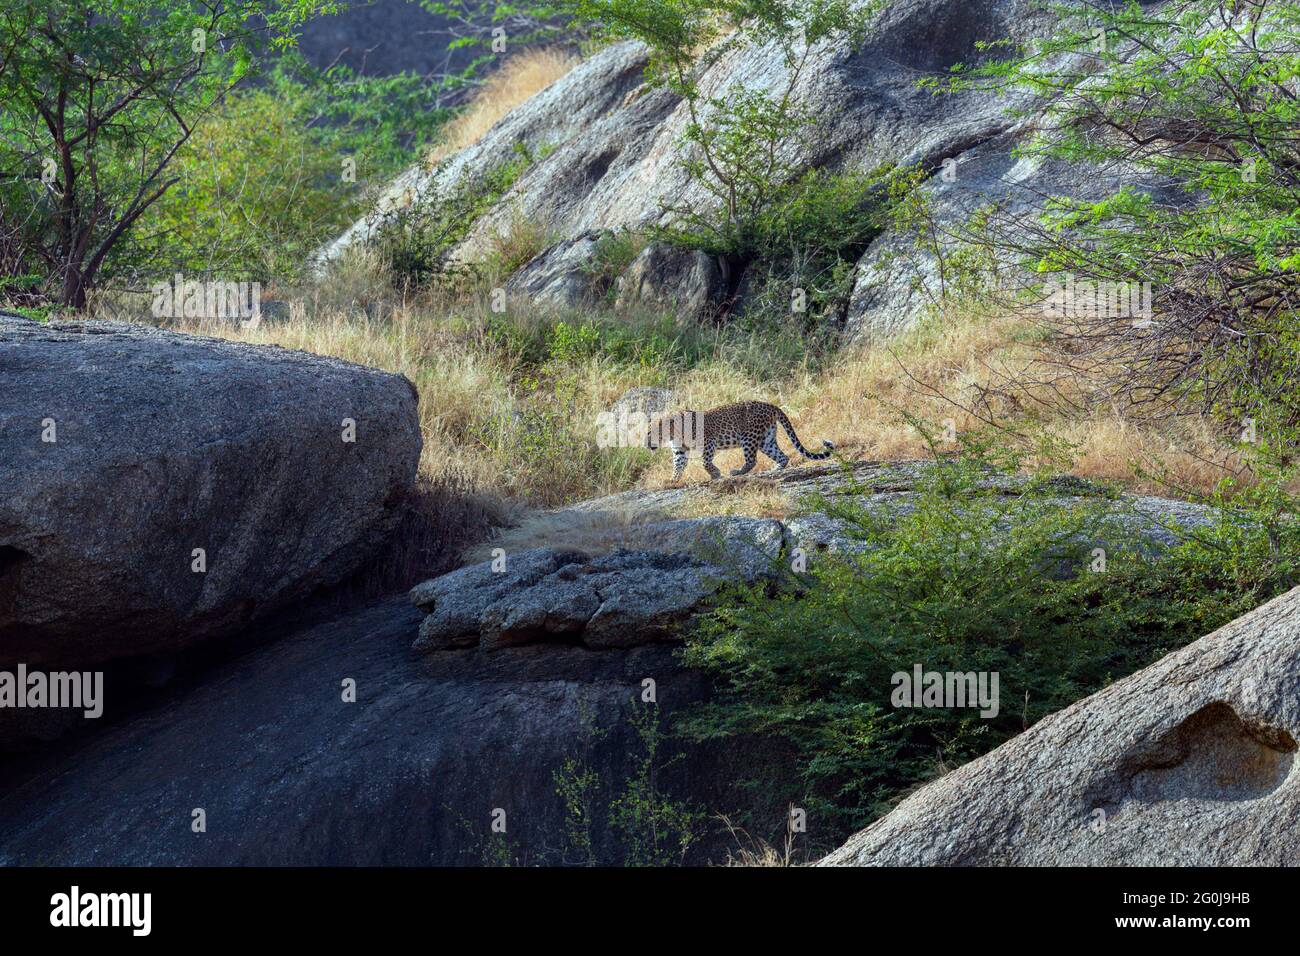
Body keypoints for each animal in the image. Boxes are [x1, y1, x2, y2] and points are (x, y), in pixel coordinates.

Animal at [645, 400, 834, 482]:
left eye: (650, 433)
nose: (646, 445)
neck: (673, 432)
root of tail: (771, 405)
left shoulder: (708, 441)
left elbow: (705, 462)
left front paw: (716, 474)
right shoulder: (680, 450)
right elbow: (678, 465)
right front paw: (672, 481)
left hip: (749, 437)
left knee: (752, 460)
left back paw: (737, 472)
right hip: (766, 440)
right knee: (782, 456)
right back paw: (774, 470)